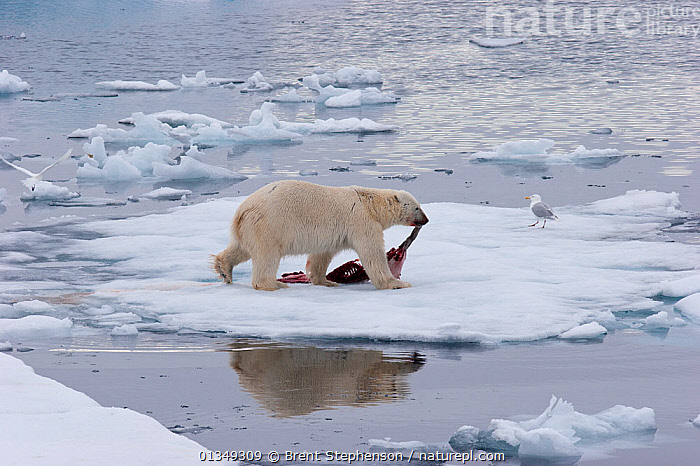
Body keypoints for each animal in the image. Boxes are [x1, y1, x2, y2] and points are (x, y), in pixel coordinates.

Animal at [212, 180, 428, 291]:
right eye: (417, 207)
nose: (426, 220)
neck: (369, 203)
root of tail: (242, 210)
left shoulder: (333, 234)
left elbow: (321, 255)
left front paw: (326, 281)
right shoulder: (361, 222)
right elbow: (372, 254)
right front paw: (397, 283)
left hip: (249, 228)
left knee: (240, 248)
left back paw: (224, 269)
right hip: (270, 226)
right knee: (267, 256)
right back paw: (273, 284)